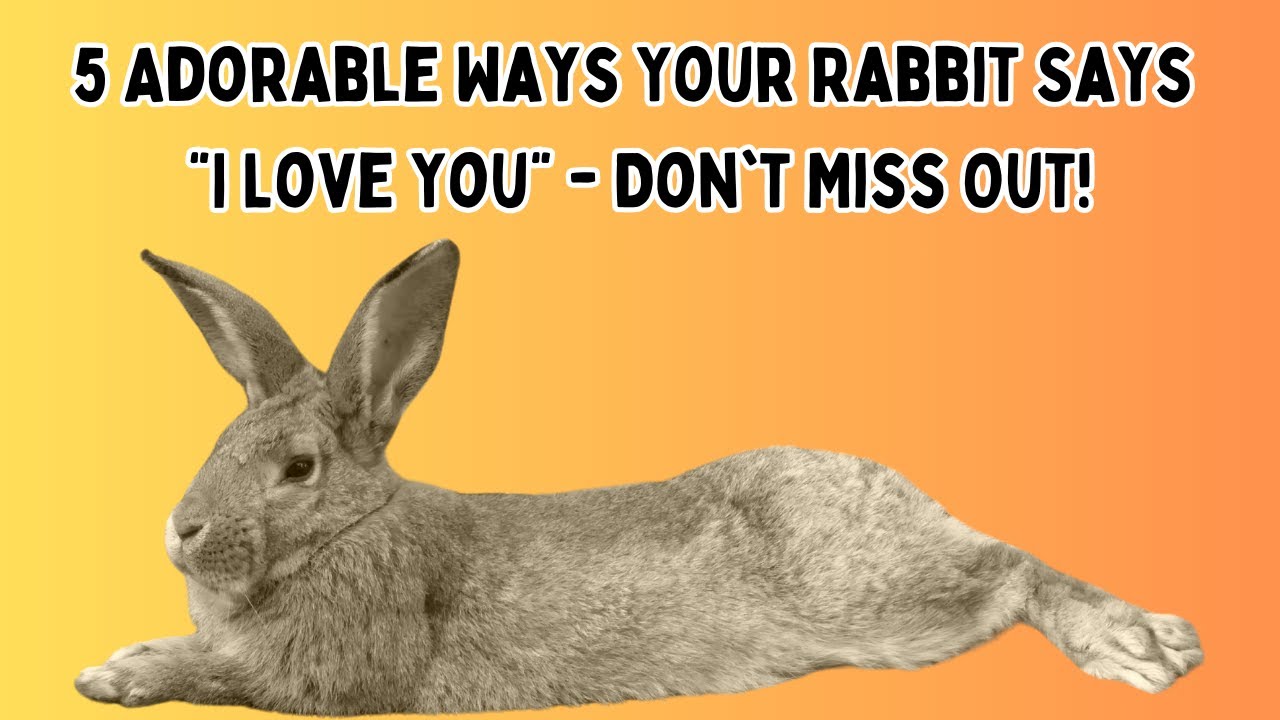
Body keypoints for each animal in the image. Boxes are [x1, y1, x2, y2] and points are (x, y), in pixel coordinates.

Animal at [75, 240, 1202, 715]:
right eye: (218, 445)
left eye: (297, 469)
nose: (179, 529)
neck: (348, 532)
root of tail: (901, 493)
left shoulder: (331, 673)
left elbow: (220, 673)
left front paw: (117, 676)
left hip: (883, 603)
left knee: (1013, 571)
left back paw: (1141, 646)